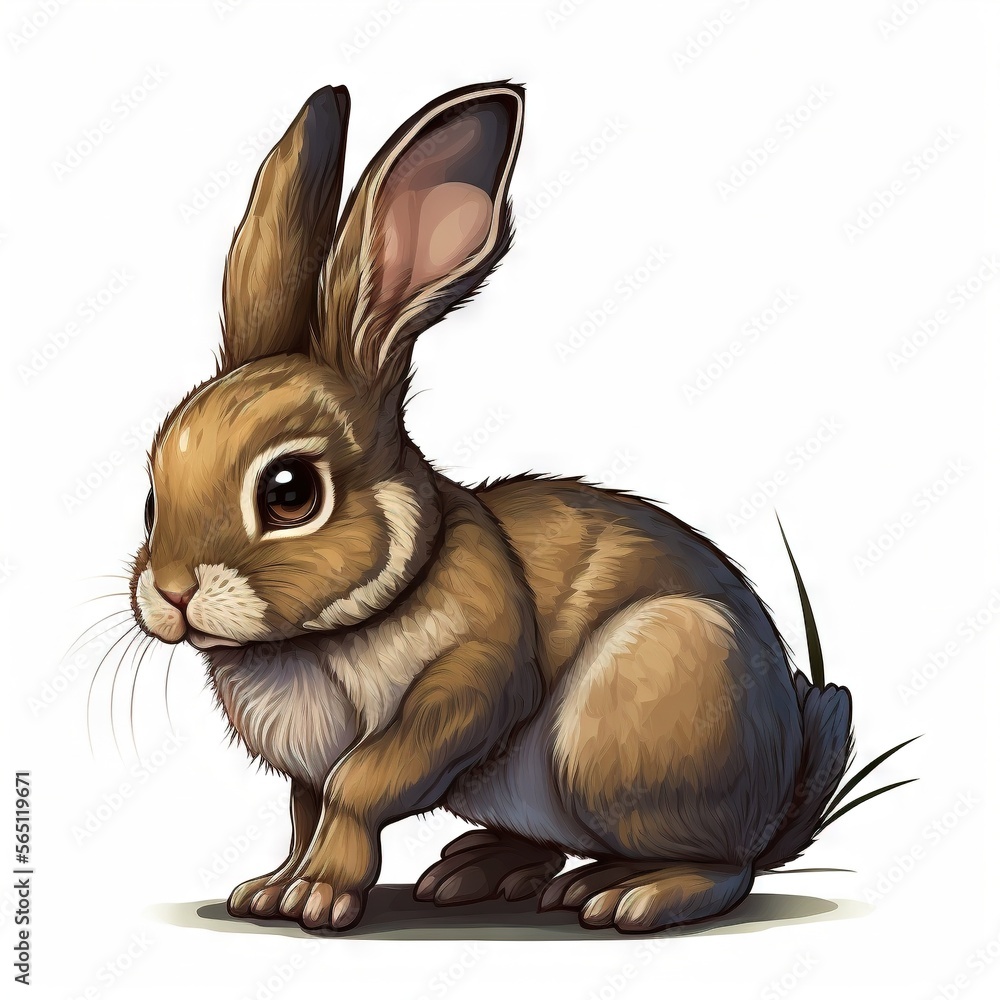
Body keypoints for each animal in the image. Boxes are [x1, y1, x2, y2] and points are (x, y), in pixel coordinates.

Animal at [128, 81, 853, 934]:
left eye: (290, 492)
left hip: (647, 714)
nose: (172, 593)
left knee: (727, 868)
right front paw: (272, 891)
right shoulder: (303, 769)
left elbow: (358, 787)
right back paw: (479, 871)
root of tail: (780, 798)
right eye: (151, 497)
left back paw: (629, 895)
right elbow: (305, 811)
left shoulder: (471, 679)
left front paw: (319, 897)